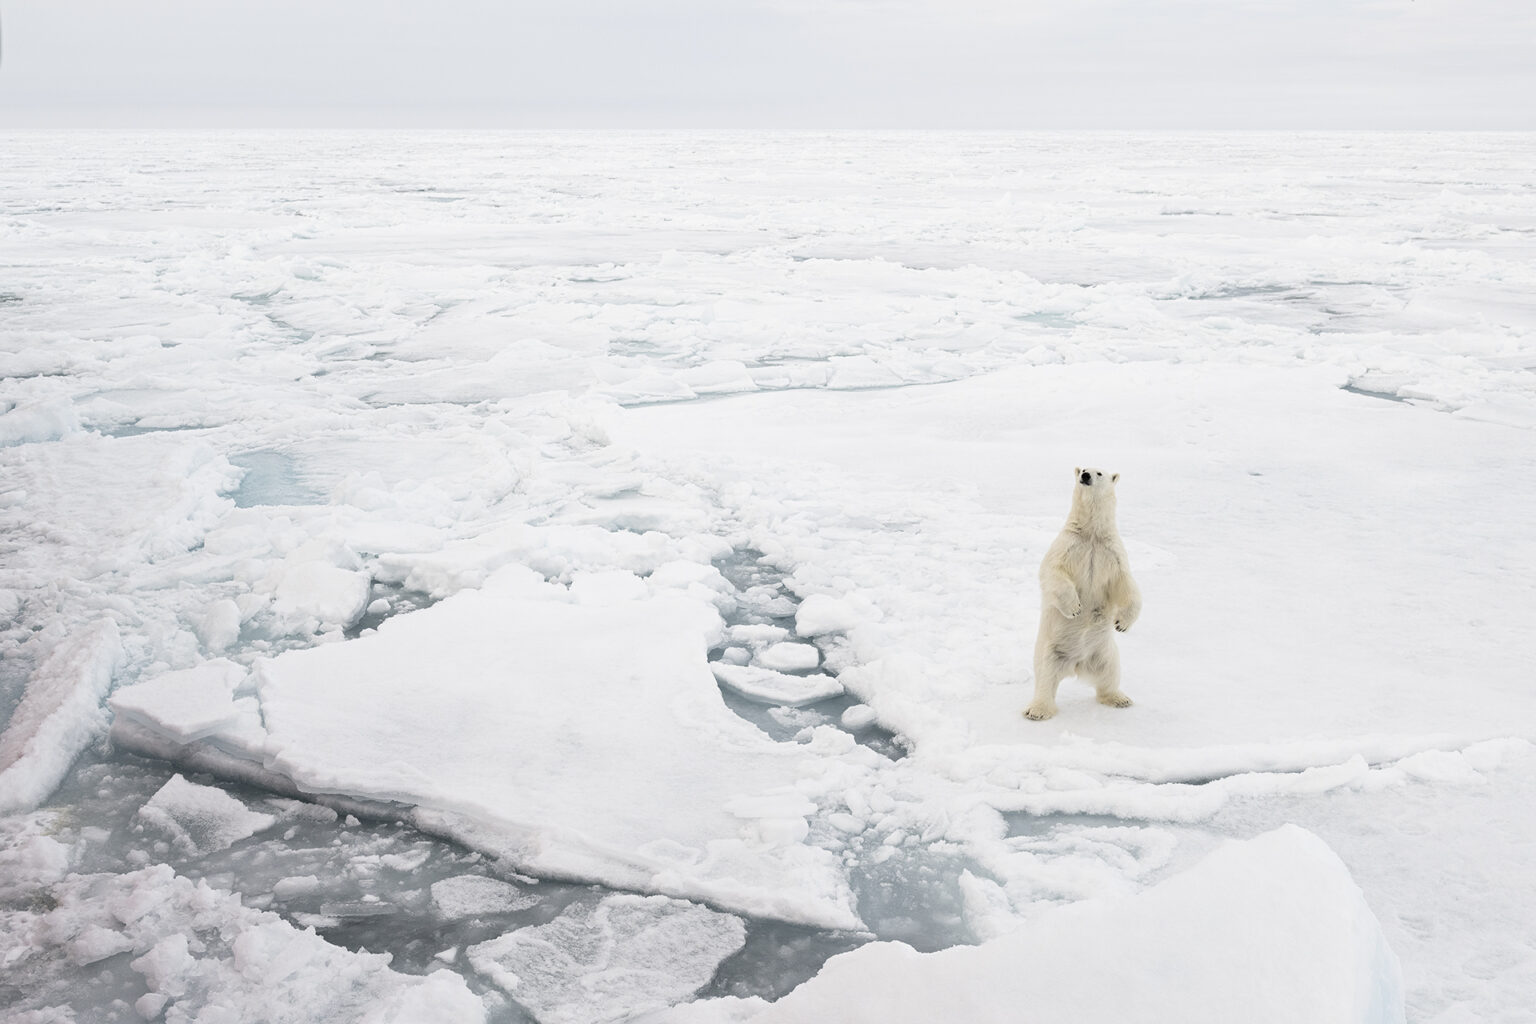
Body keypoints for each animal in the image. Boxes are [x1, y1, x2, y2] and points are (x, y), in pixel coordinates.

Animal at [1025, 467, 1141, 721]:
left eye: (1099, 473)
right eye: (1084, 468)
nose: (1085, 475)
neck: (1092, 534)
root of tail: (1077, 664)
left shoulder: (1112, 552)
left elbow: (1126, 584)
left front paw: (1122, 624)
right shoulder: (1067, 546)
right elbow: (1052, 572)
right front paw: (1075, 608)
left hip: (1104, 652)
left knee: (1110, 673)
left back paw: (1120, 698)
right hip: (1050, 650)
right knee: (1045, 677)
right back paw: (1037, 711)